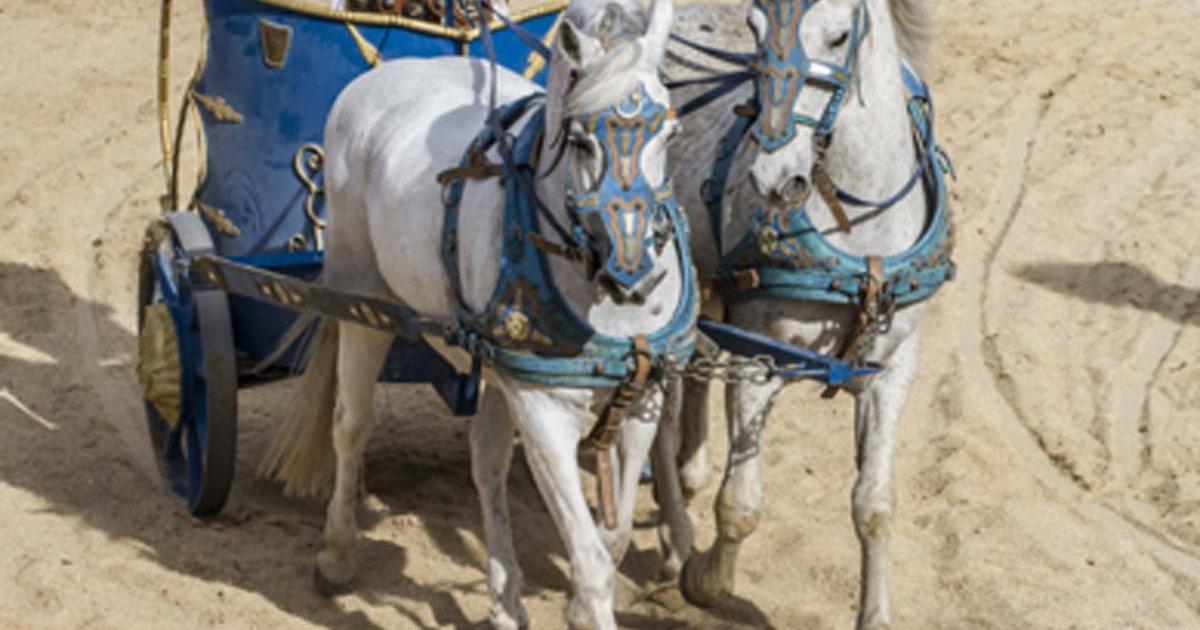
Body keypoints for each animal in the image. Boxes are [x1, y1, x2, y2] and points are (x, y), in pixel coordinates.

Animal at [258, 0, 691, 627]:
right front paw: (581, 602)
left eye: (671, 132)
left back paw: (505, 601)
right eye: (580, 140)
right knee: (350, 424)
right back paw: (337, 555)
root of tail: (382, 77)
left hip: (495, 361)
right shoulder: (544, 409)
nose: (634, 276)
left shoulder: (640, 398)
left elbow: (614, 538)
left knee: (485, 459)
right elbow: (590, 561)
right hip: (361, 303)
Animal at [653, 1, 949, 628]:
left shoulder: (894, 367)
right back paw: (675, 533)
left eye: (838, 37)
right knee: (656, 421)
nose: (774, 177)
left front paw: (874, 614)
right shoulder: (758, 360)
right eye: (756, 30)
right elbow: (740, 505)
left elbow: (875, 505)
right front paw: (706, 580)